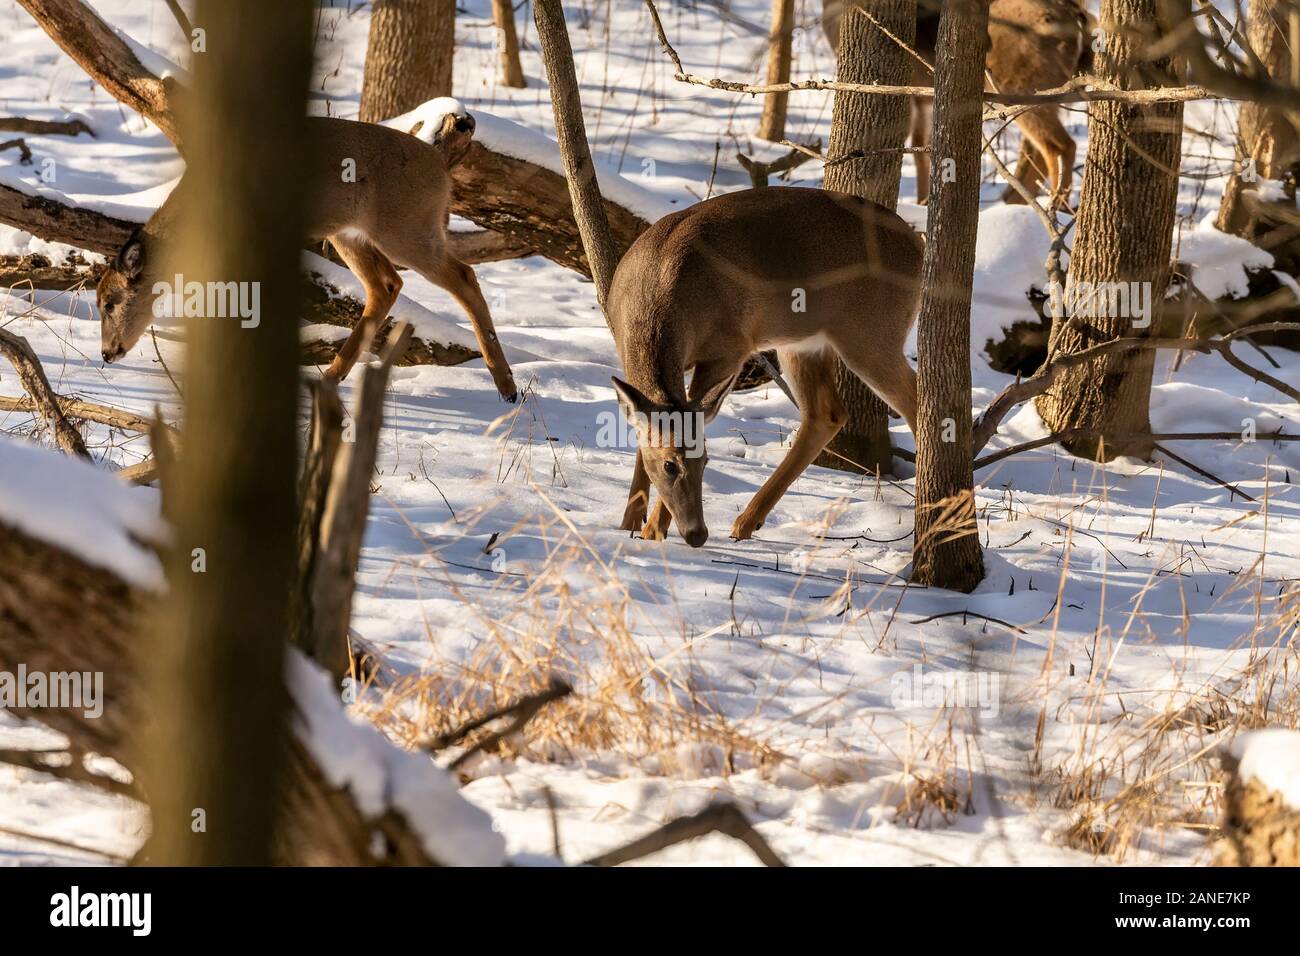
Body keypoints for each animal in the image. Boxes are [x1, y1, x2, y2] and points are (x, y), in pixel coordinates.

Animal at [97, 108, 518, 401]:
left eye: (110, 302)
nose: (106, 352)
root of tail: (440, 166)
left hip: (408, 229)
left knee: (462, 275)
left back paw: (507, 386)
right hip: (349, 233)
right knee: (386, 285)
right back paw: (331, 376)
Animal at [609, 187, 922, 548]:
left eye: (706, 460)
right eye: (669, 466)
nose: (698, 534)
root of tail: (919, 247)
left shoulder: (728, 350)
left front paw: (652, 530)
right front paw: (629, 524)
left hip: (871, 333)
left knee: (917, 401)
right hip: (803, 342)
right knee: (827, 414)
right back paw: (747, 521)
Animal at [823, 0, 1086, 210]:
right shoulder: (924, 98)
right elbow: (922, 148)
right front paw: (923, 203)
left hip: (1020, 85)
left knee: (1059, 146)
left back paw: (1055, 206)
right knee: (1046, 148)